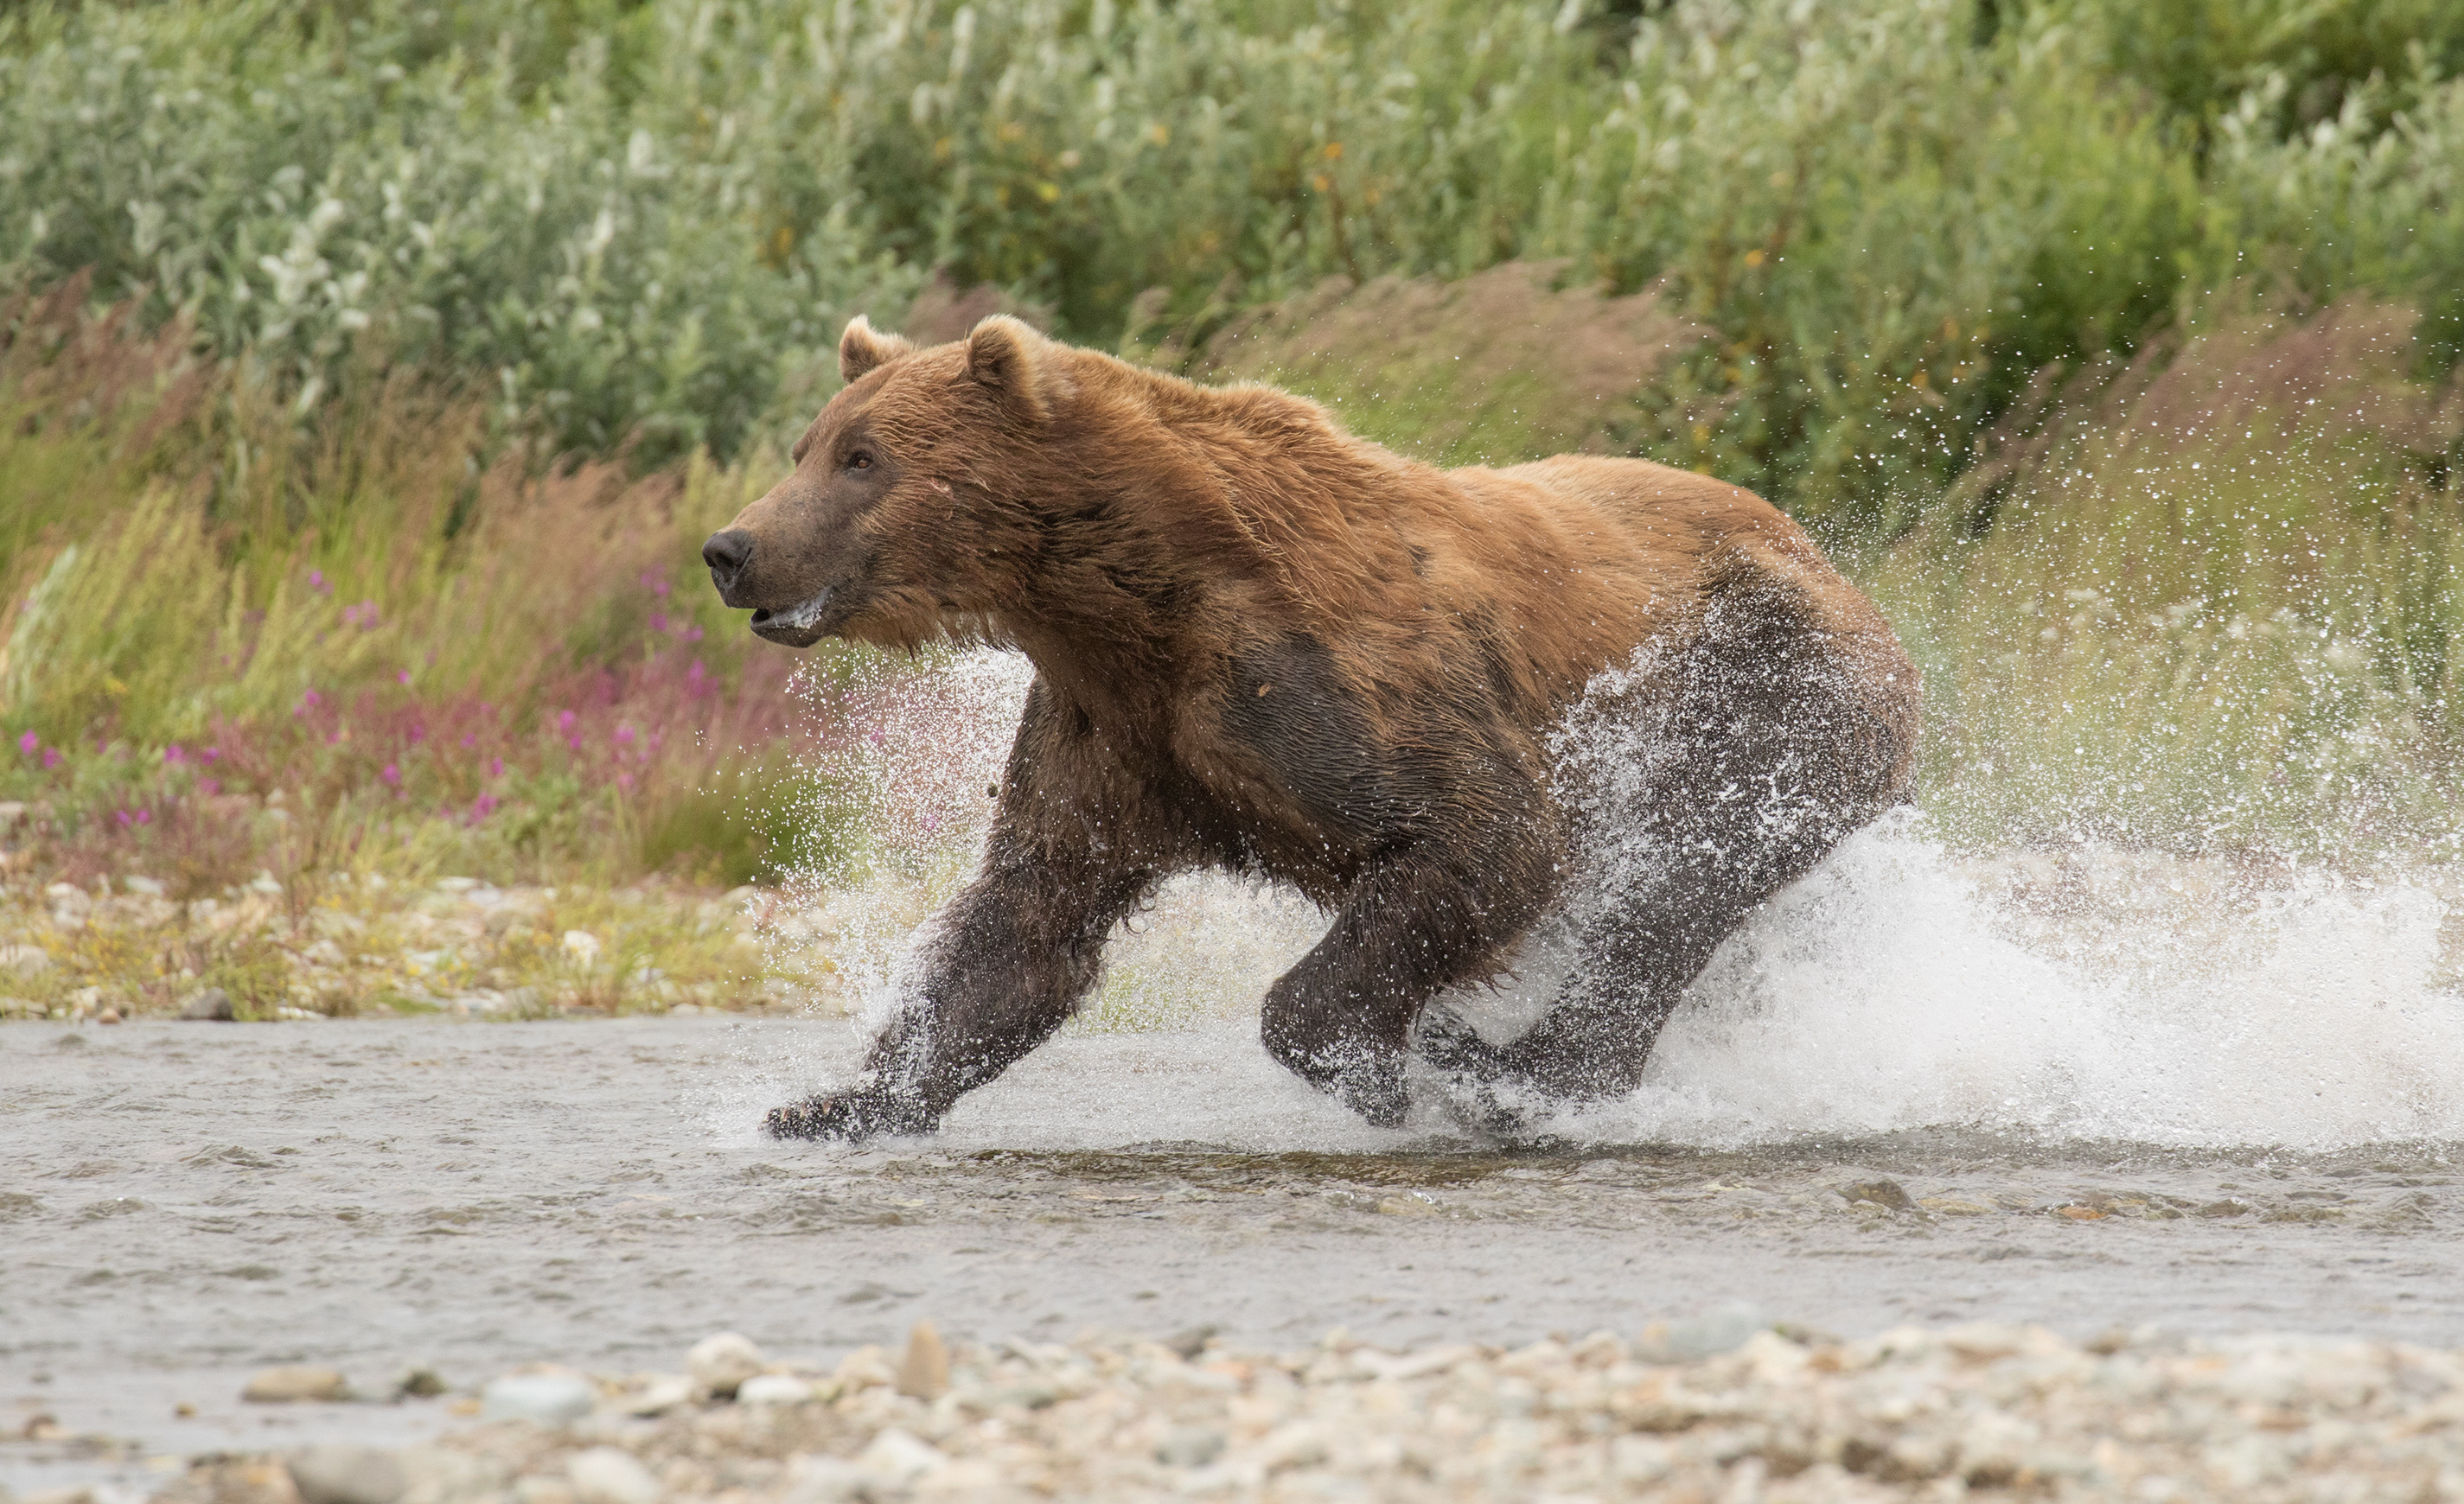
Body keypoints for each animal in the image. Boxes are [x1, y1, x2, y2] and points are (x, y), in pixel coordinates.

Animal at [702, 313, 1919, 1139]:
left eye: (863, 458)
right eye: (812, 445)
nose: (731, 547)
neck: (1131, 603)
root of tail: (1828, 557)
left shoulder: (1323, 680)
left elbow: (1483, 833)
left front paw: (1383, 1065)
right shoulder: (1111, 733)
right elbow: (1027, 917)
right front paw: (837, 1100)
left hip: (1772, 688)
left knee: (1682, 872)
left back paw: (1522, 1073)